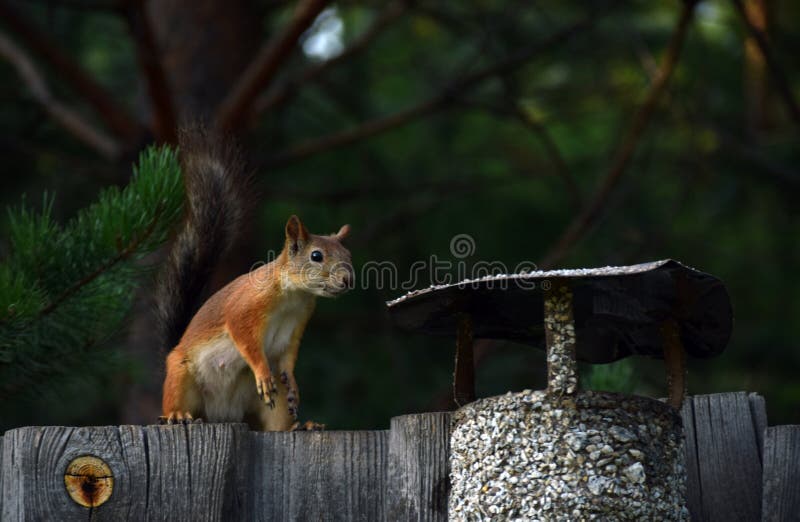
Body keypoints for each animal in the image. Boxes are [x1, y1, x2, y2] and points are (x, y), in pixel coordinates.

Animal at [156, 127, 353, 431]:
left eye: (348, 254)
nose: (347, 280)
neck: (294, 296)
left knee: (277, 419)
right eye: (316, 256)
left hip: (270, 405)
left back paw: (299, 425)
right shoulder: (245, 307)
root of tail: (222, 414)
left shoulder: (296, 325)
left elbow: (287, 358)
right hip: (182, 375)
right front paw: (261, 370)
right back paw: (177, 415)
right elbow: (246, 340)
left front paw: (293, 381)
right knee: (175, 401)